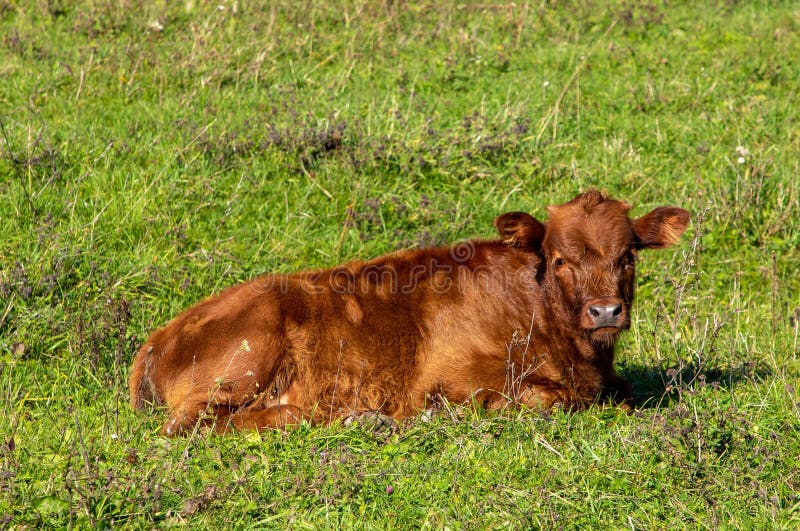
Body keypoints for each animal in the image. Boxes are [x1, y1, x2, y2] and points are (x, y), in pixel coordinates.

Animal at [129, 190, 690, 435]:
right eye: (560, 260)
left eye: (629, 255)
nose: (605, 311)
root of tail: (158, 337)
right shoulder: (459, 383)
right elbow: (542, 401)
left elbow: (623, 395)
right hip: (250, 354)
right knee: (196, 421)